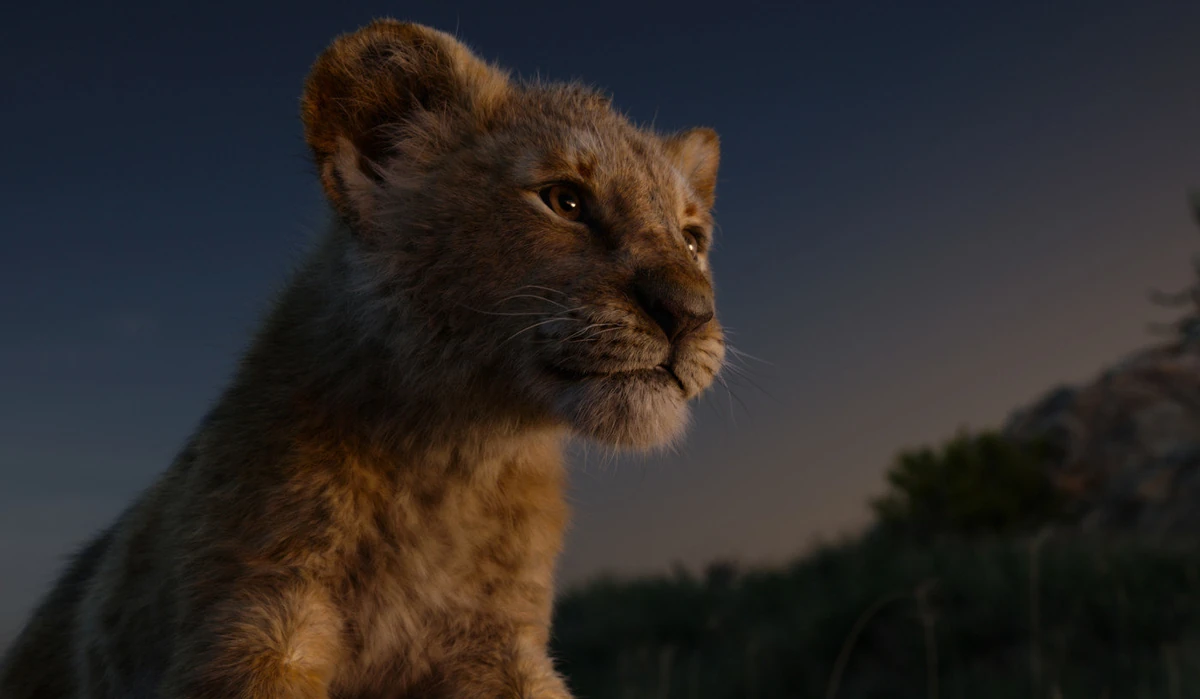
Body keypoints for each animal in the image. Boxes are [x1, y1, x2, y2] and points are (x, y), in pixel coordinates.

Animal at [1, 19, 725, 698]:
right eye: (565, 200)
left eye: (693, 239)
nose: (690, 312)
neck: (455, 459)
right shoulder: (254, 618)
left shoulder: (498, 643)